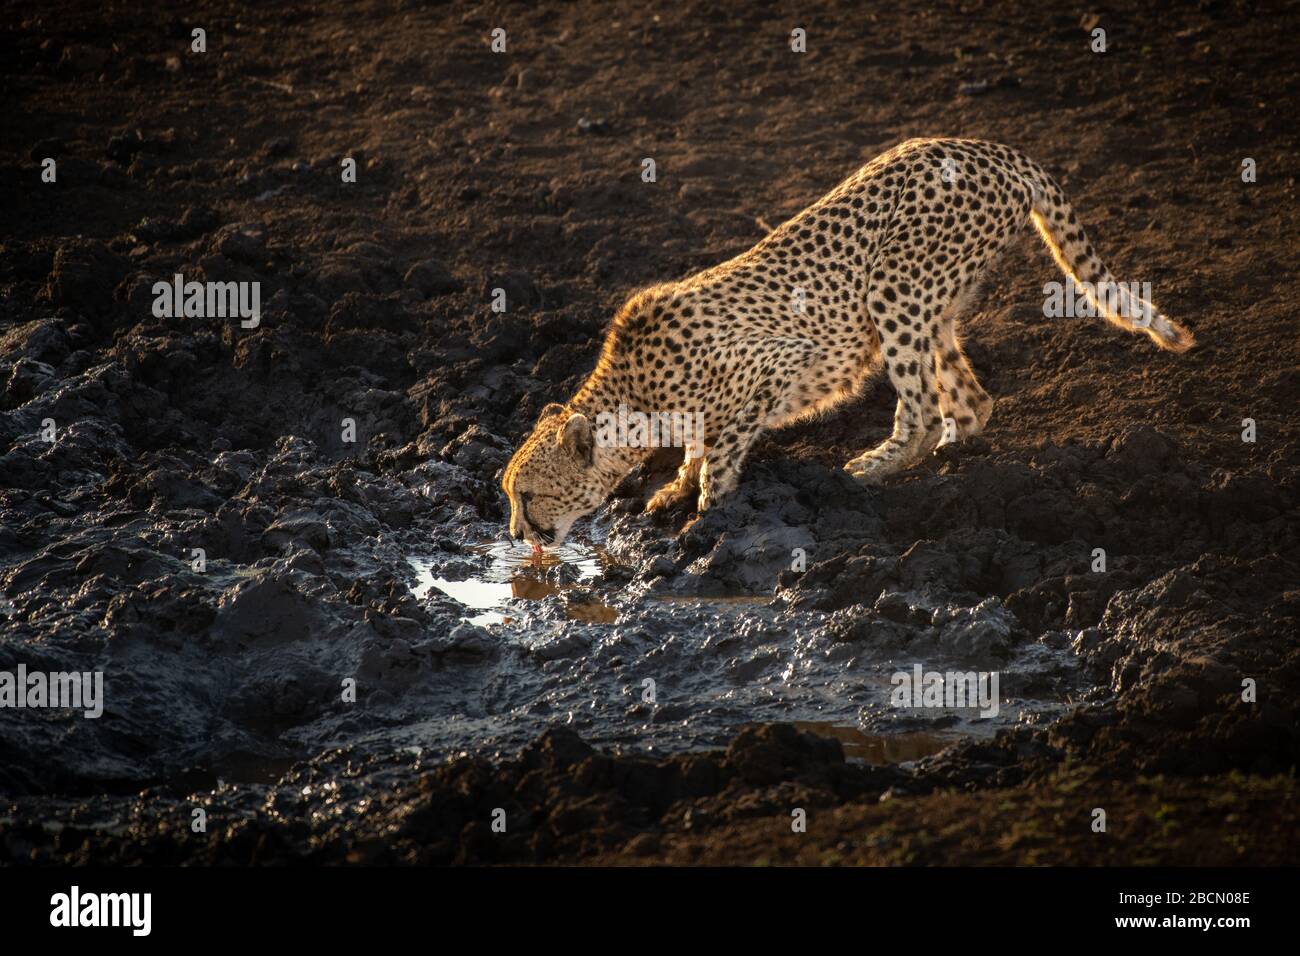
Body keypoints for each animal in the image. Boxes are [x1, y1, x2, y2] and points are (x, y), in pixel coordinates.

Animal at [501, 137, 1194, 551]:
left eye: (526, 495)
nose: (514, 535)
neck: (634, 390)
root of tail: (989, 148)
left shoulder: (777, 363)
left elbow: (722, 453)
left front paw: (706, 519)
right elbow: (699, 445)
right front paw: (674, 488)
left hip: (896, 286)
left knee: (921, 411)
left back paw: (876, 466)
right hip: (934, 304)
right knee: (971, 402)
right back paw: (950, 448)